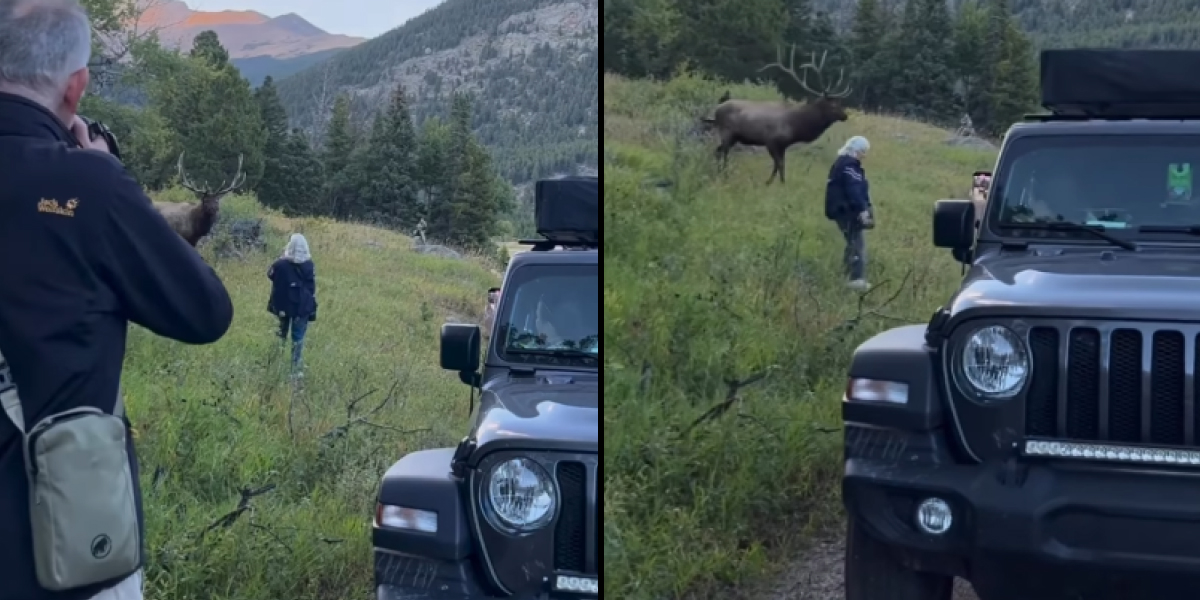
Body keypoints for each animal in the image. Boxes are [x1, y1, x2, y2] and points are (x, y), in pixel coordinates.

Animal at [702, 46, 852, 185]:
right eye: (833, 106)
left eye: (840, 103)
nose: (845, 116)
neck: (796, 126)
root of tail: (717, 110)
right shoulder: (772, 141)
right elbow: (779, 164)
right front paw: (775, 183)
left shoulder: (783, 145)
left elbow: (781, 165)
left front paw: (774, 183)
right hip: (727, 132)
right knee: (722, 152)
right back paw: (724, 174)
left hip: (733, 137)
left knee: (719, 151)